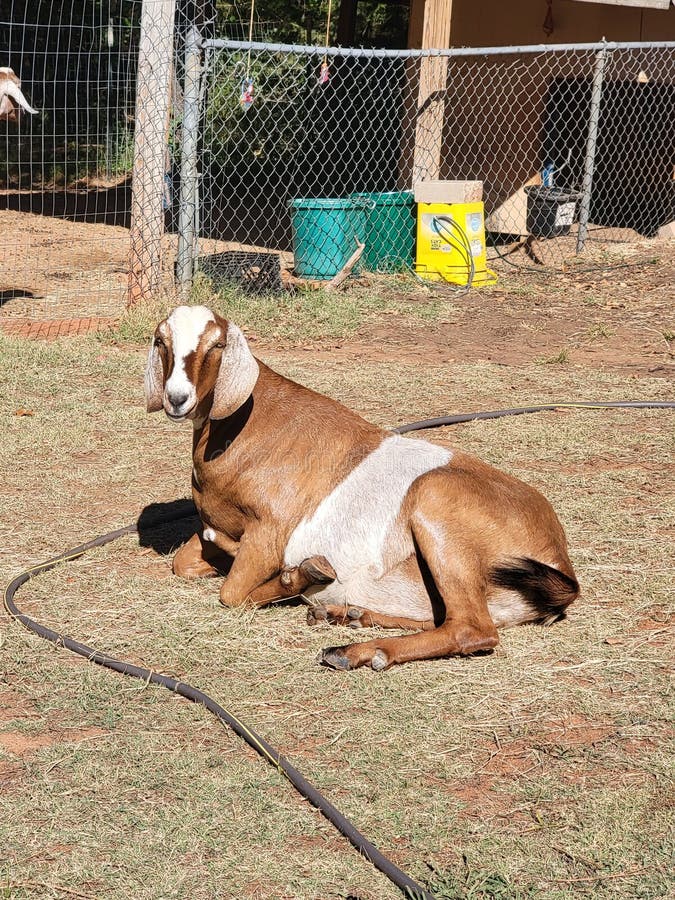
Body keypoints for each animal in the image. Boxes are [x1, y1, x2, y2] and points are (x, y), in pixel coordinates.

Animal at [146, 305, 579, 671]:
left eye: (216, 344)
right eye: (162, 340)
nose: (177, 399)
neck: (246, 423)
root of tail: (559, 562)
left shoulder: (268, 535)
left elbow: (231, 594)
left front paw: (300, 575)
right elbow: (182, 563)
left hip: (435, 500)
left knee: (472, 628)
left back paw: (354, 650)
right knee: (444, 617)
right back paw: (346, 615)